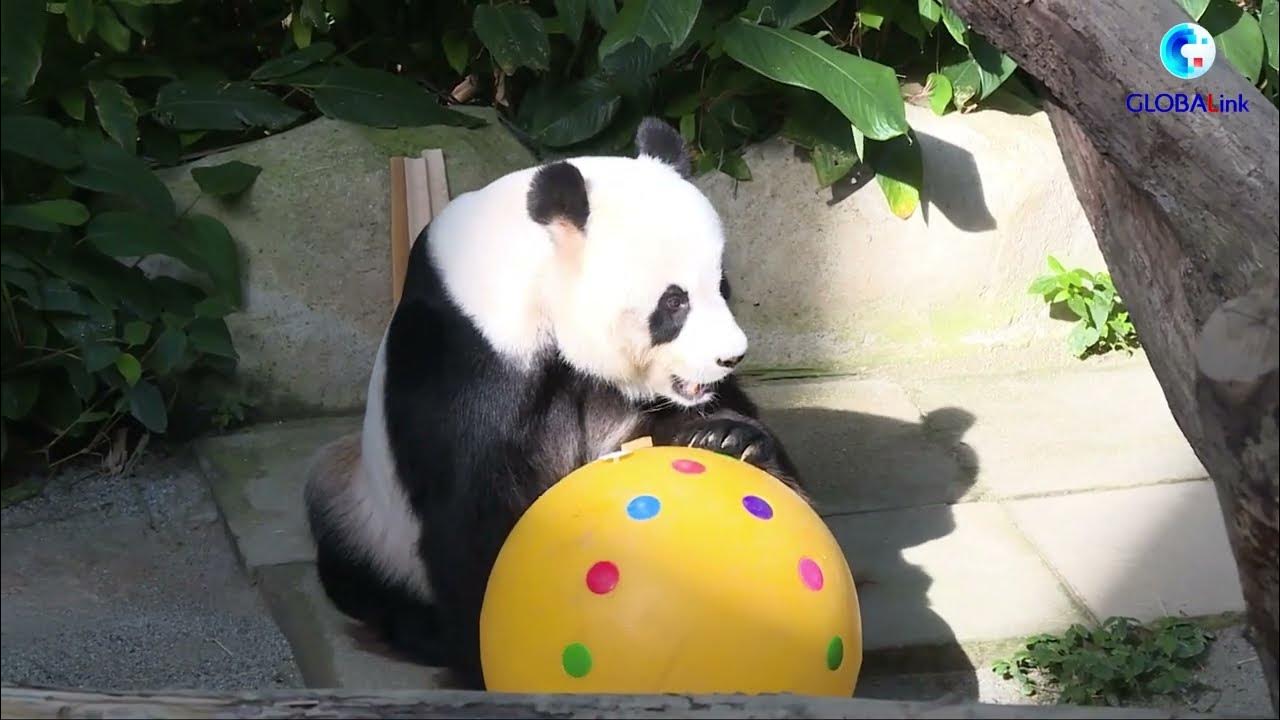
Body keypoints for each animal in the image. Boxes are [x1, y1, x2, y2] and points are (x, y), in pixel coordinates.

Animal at [304, 117, 806, 689]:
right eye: (674, 302)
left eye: (723, 286)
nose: (730, 357)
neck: (530, 279)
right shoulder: (468, 358)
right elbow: (475, 511)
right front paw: (488, 654)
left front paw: (727, 438)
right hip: (361, 508)